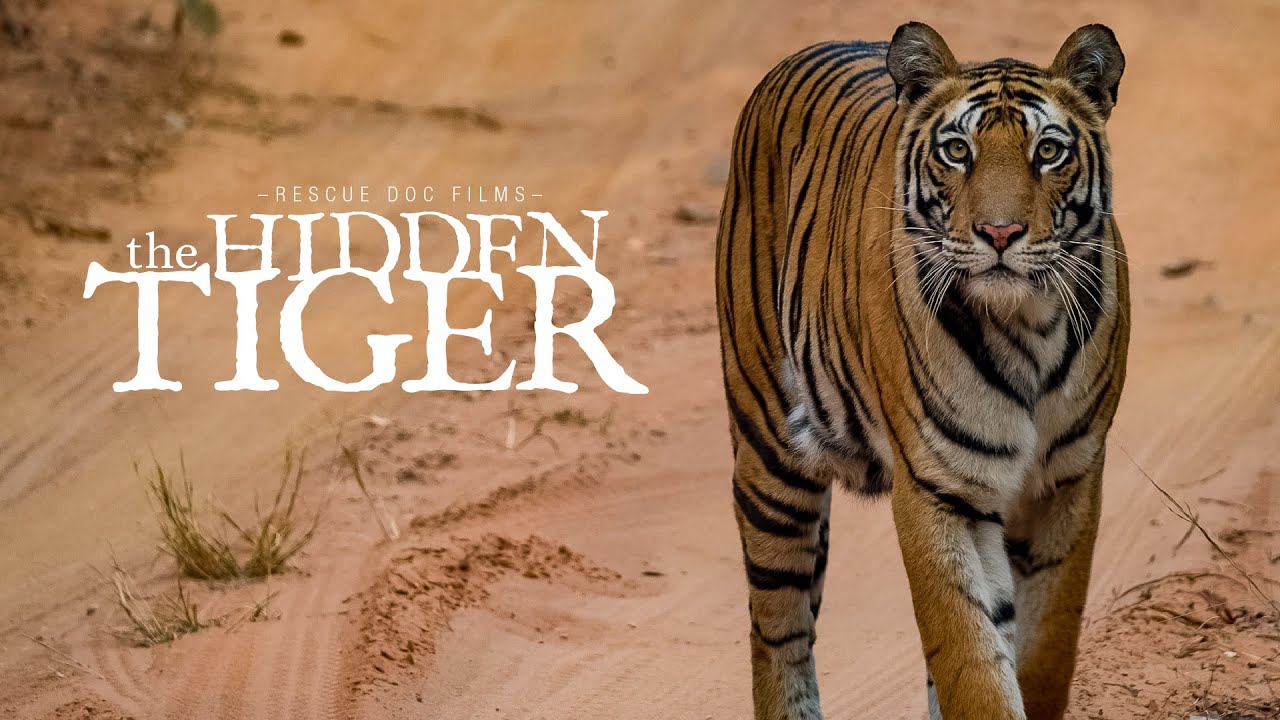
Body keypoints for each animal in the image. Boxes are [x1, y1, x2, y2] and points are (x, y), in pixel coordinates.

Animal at [715, 21, 1129, 720]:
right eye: (958, 151)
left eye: (1048, 151)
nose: (1000, 232)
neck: (1027, 324)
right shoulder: (940, 487)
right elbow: (969, 658)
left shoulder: (1069, 480)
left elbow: (1043, 648)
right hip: (770, 457)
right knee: (777, 630)